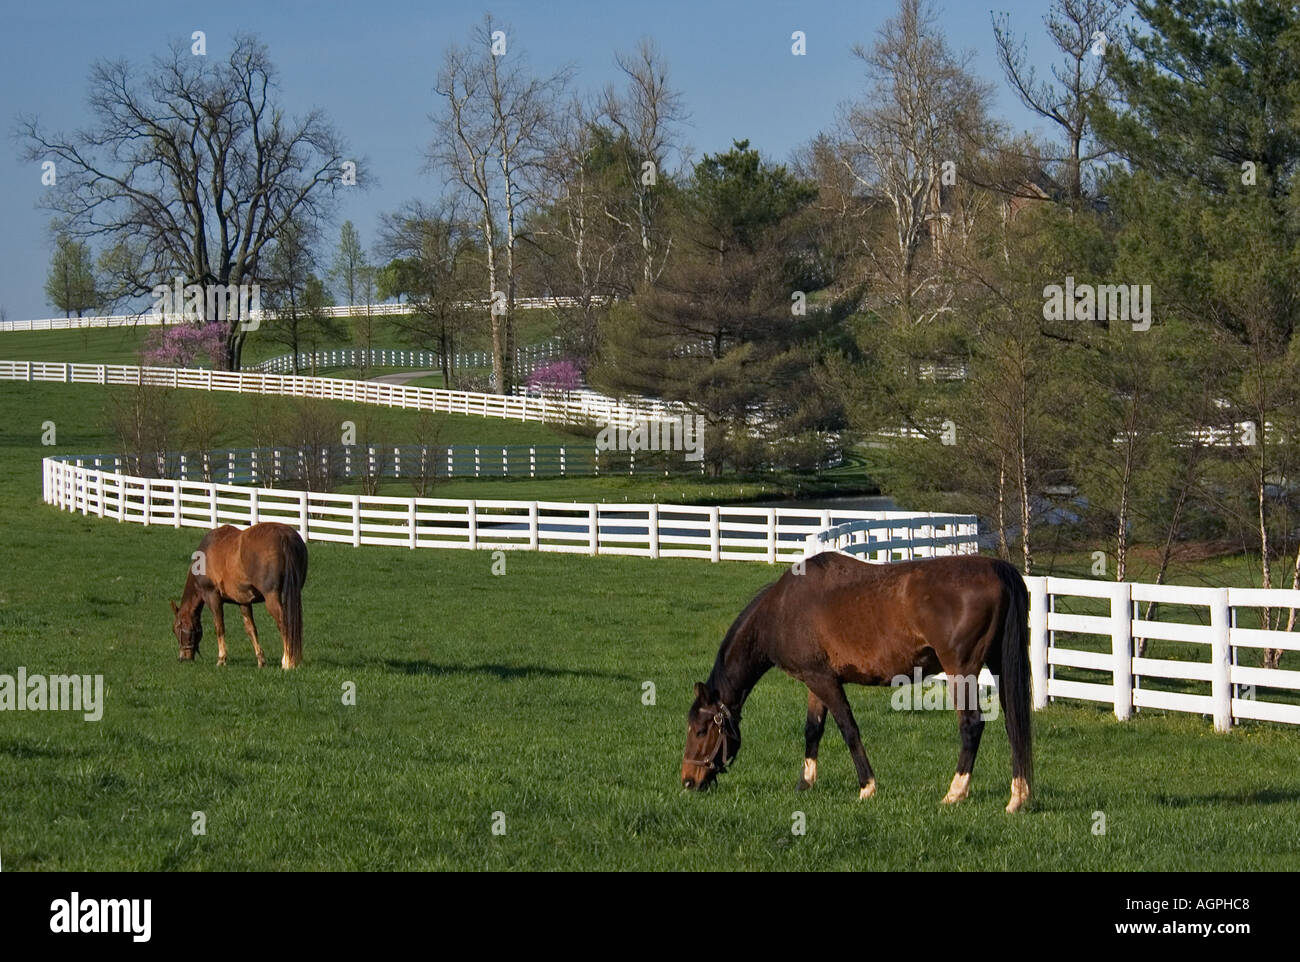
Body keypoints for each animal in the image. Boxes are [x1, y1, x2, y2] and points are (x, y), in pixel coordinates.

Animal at [170, 522, 308, 669]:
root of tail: (284, 535)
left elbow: (219, 627)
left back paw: (287, 661)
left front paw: (221, 659)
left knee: (284, 623)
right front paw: (260, 660)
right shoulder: (243, 601)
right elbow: (251, 629)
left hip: (271, 597)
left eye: (176, 628)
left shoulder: (212, 596)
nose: (182, 658)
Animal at [681, 551, 1032, 813]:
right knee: (1014, 723)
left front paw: (867, 787)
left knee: (972, 725)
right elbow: (813, 730)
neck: (781, 610)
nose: (687, 781)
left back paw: (955, 792)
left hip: (961, 670)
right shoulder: (816, 681)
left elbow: (848, 729)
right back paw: (1018, 797)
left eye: (700, 730)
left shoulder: (824, 681)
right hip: (999, 666)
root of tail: (996, 568)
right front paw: (805, 783)